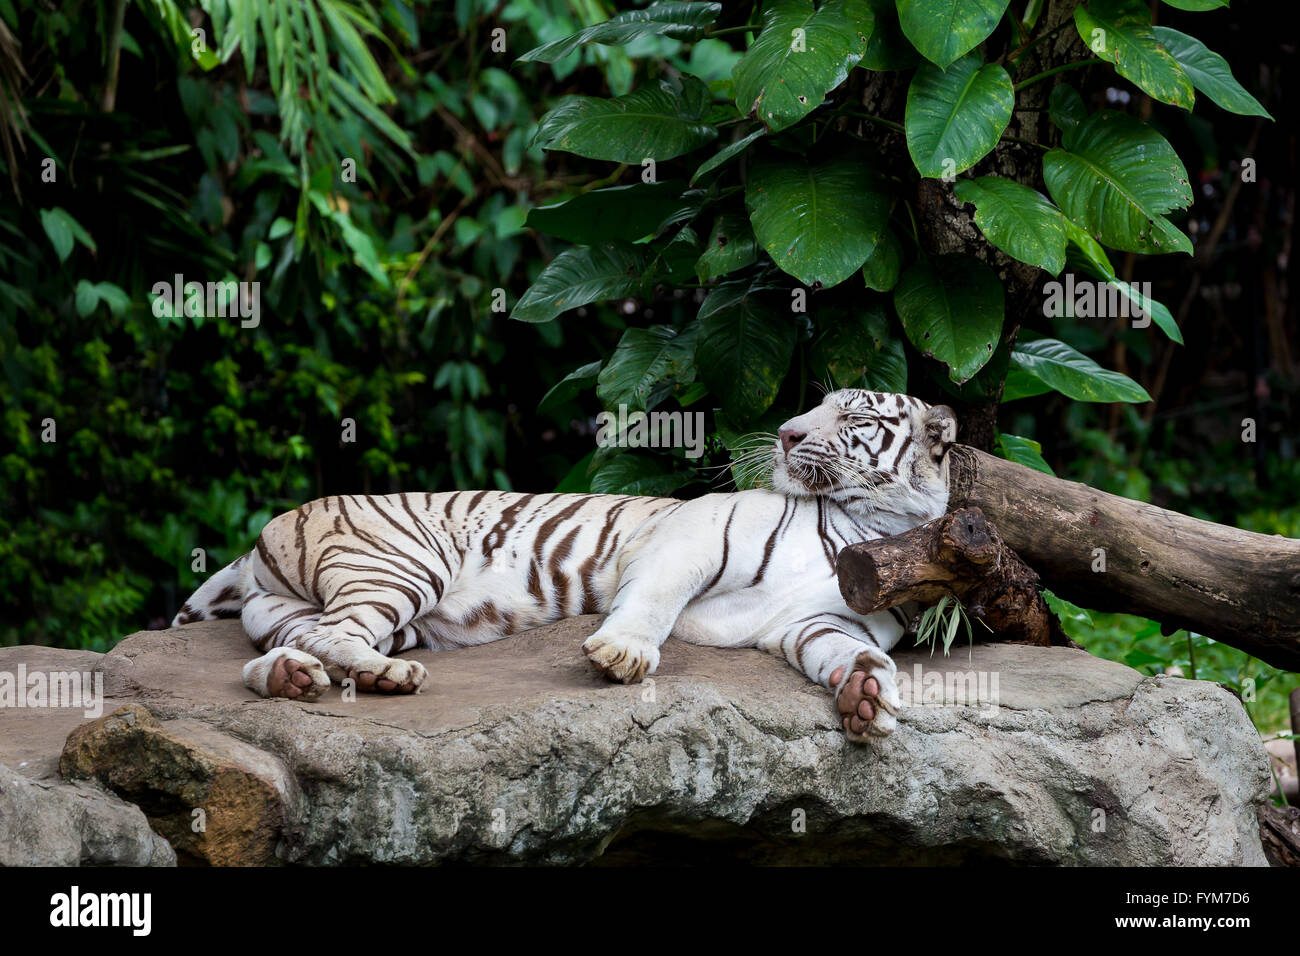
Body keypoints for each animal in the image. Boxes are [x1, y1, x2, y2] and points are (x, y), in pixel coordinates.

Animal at [173, 389, 956, 741]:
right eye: (816, 408)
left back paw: (296, 679)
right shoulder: (692, 533)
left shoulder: (816, 621)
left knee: (293, 642)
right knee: (338, 632)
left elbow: (844, 652)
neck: (870, 522)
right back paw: (383, 677)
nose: (788, 433)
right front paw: (622, 654)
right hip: (400, 566)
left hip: (314, 608)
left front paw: (866, 697)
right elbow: (653, 602)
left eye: (853, 418)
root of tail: (266, 532)